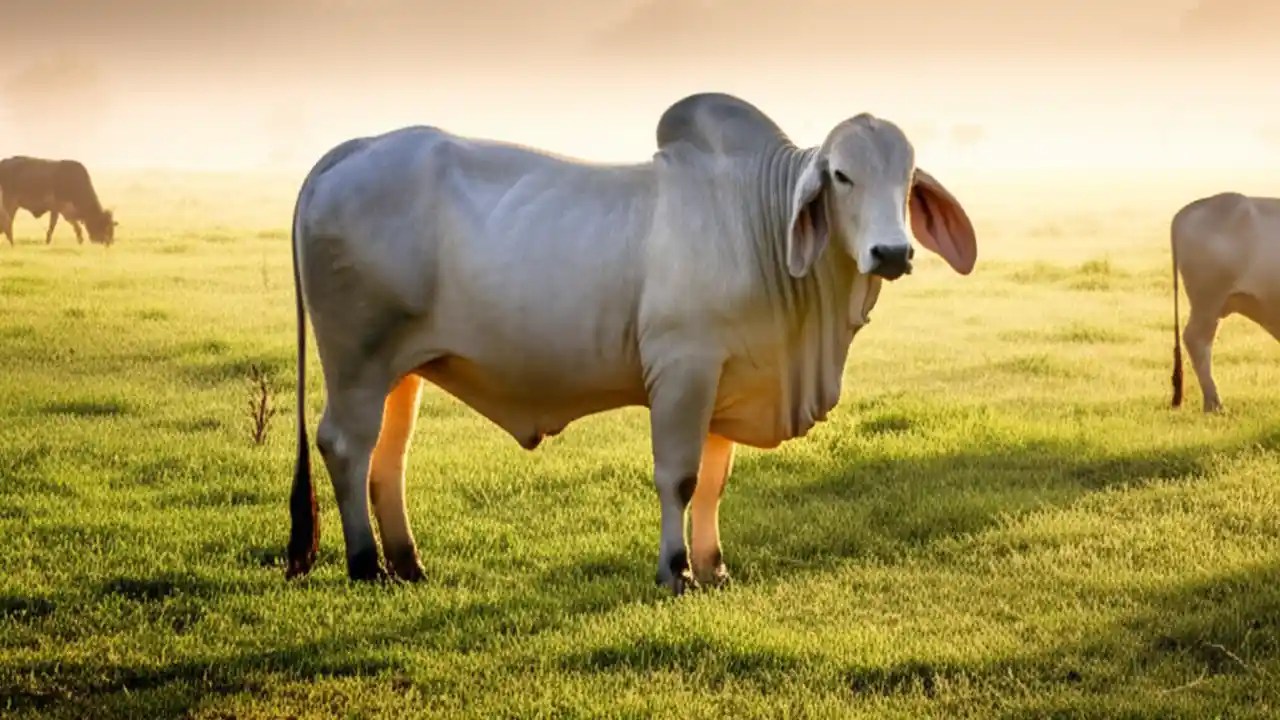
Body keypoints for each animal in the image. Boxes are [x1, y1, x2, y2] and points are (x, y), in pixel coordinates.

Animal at [285, 93, 978, 594]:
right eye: (841, 175)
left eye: (907, 179)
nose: (892, 252)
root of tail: (352, 150)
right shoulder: (683, 371)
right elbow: (680, 477)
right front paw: (677, 570)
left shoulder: (728, 380)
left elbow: (714, 481)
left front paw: (715, 567)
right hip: (356, 360)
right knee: (346, 446)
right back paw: (365, 565)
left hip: (403, 369)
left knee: (389, 458)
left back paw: (407, 564)